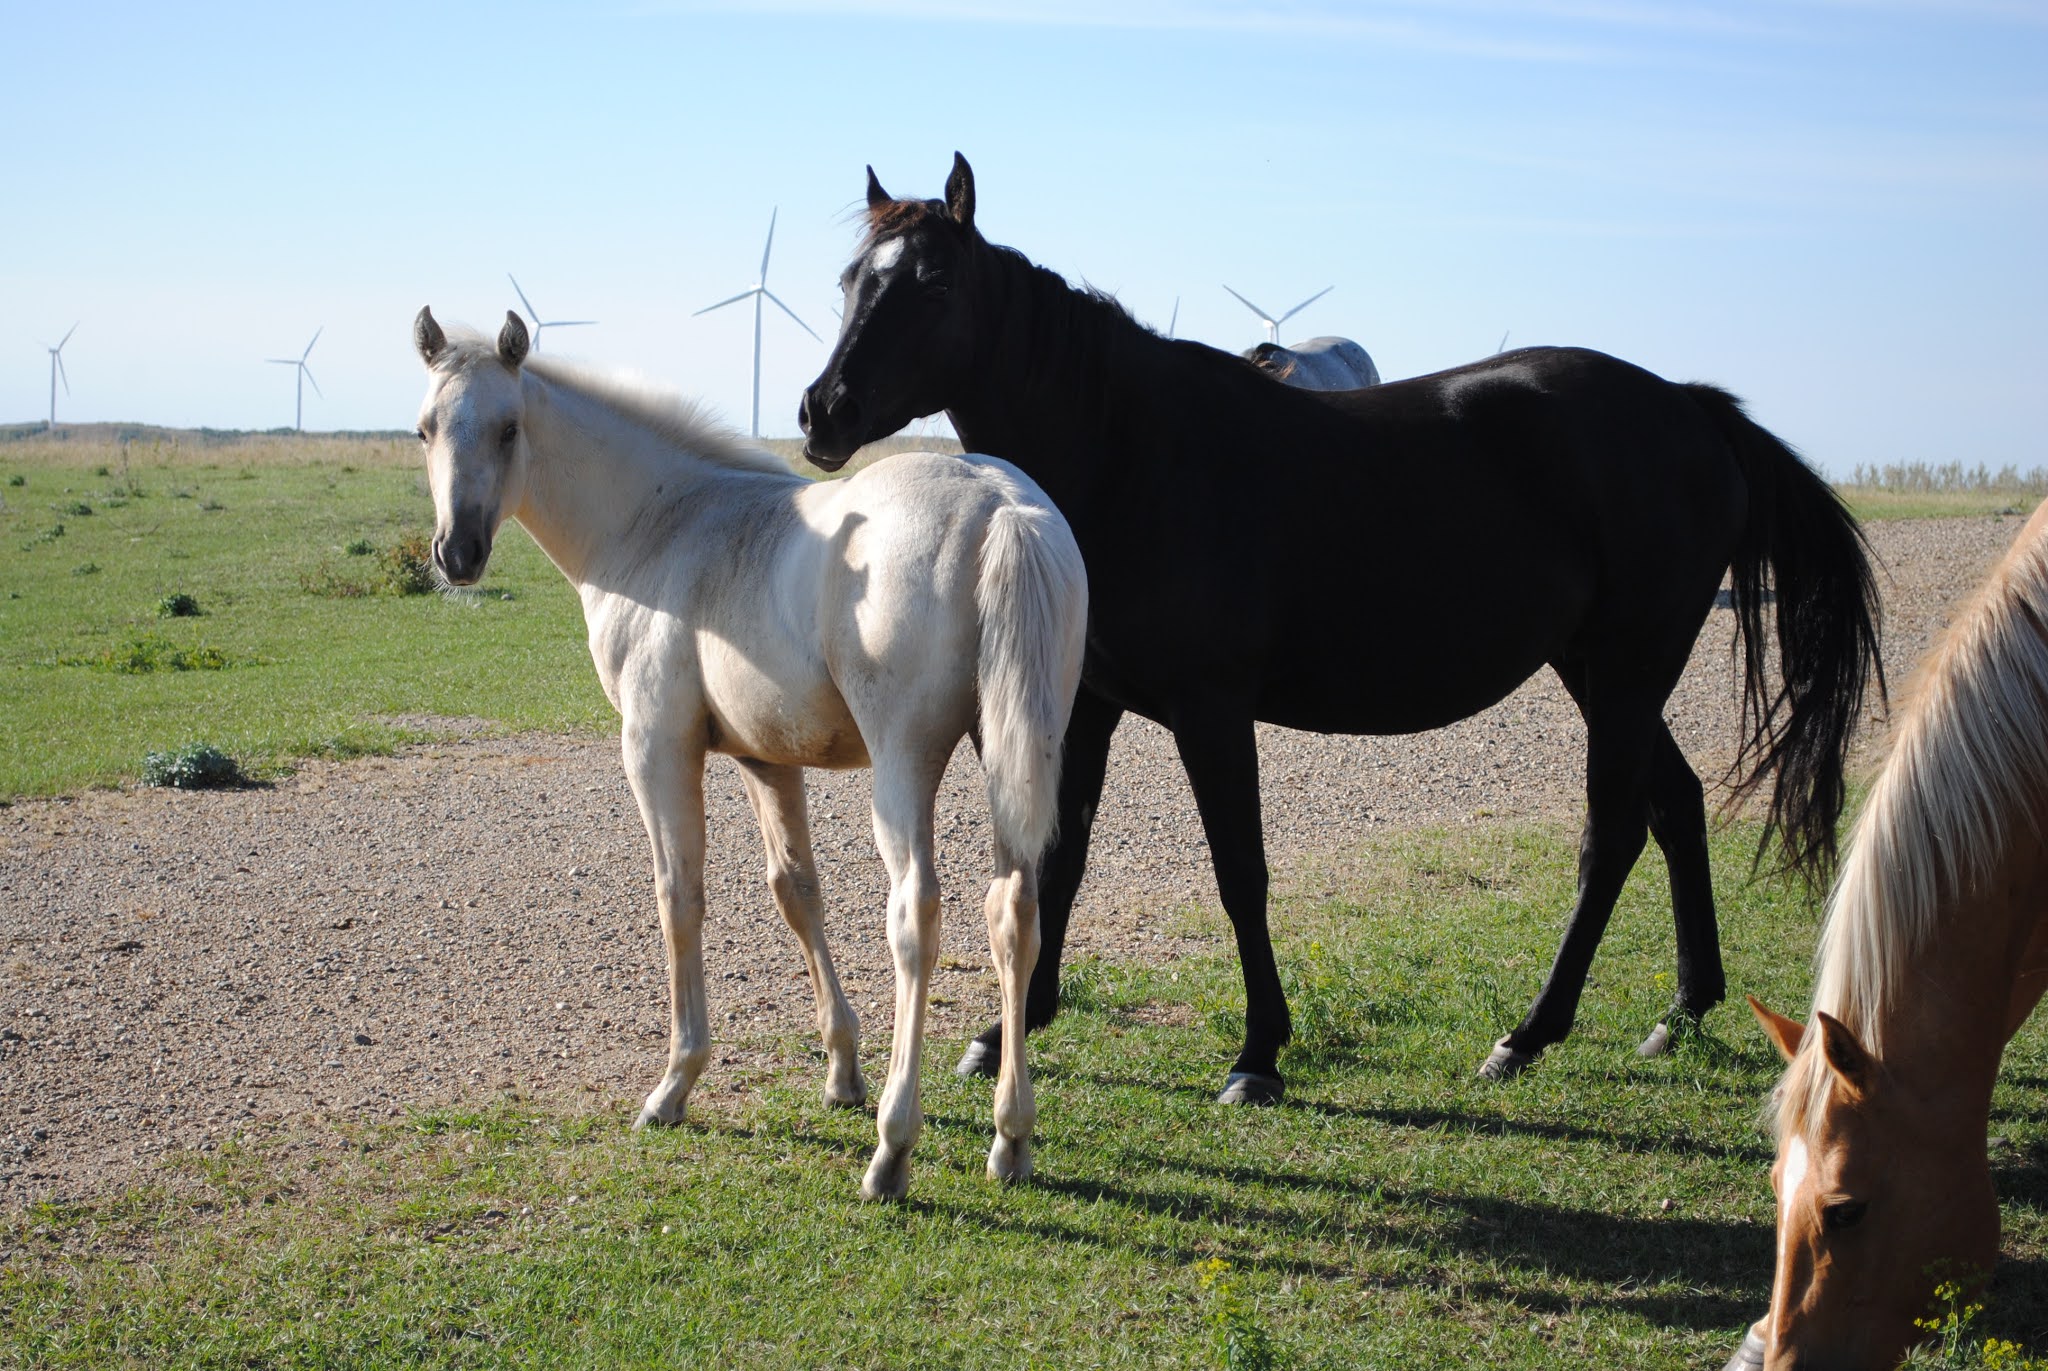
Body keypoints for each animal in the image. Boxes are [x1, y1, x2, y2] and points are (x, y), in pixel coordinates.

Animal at [409, 306, 1087, 1201]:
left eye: (509, 427)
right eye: (424, 429)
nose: (457, 553)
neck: (661, 523)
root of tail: (998, 506)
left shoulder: (657, 745)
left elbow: (679, 896)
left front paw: (675, 1082)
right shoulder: (769, 759)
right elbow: (797, 891)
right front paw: (841, 1068)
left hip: (905, 762)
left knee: (916, 914)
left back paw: (892, 1150)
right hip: (1015, 751)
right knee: (1014, 909)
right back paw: (1010, 1138)